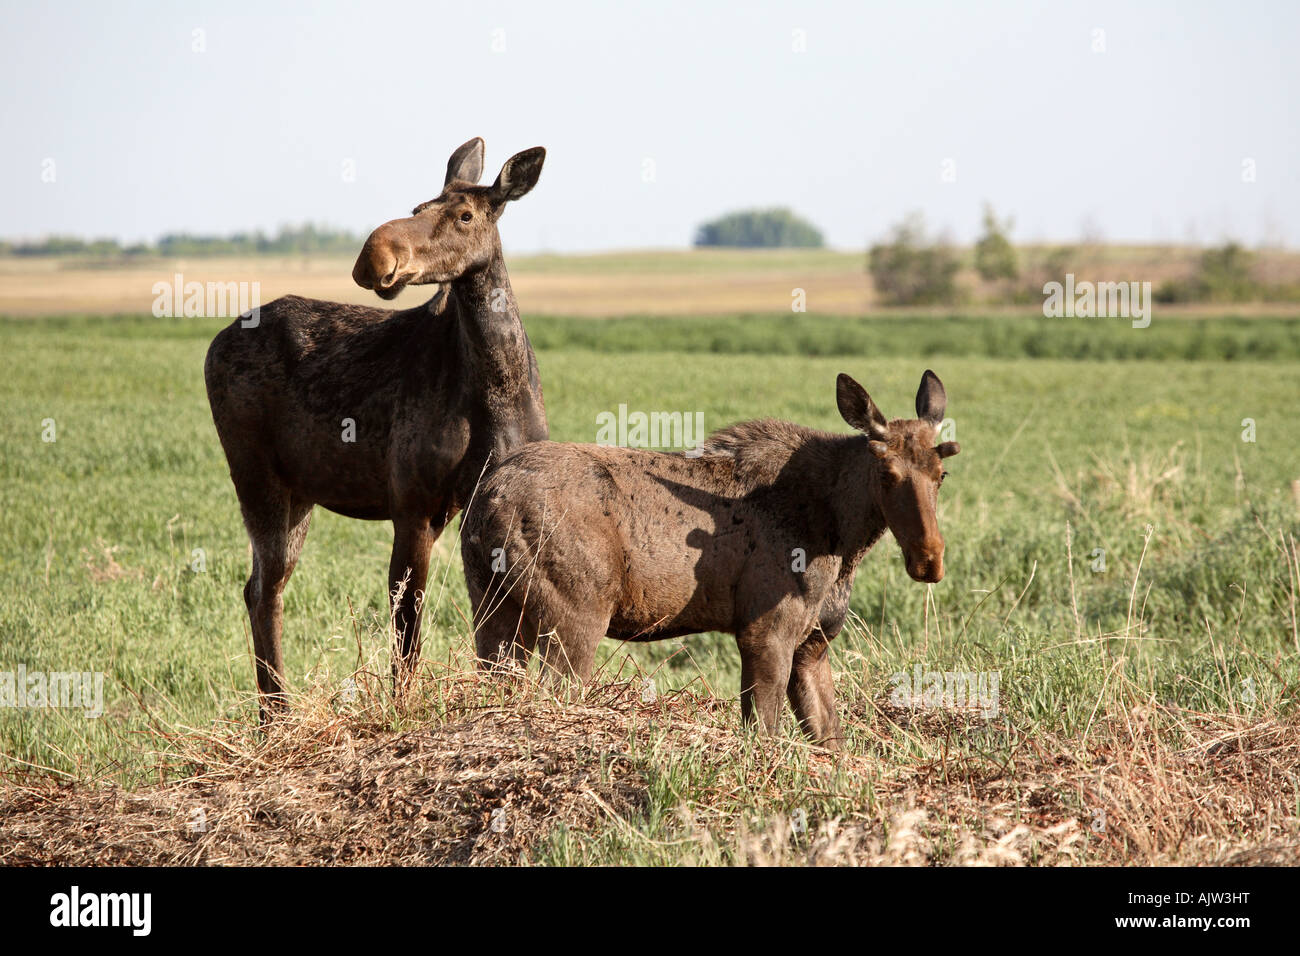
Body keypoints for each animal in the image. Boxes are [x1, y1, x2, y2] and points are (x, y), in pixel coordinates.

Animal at [204, 138, 549, 722]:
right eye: (417, 207)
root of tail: (212, 345)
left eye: (465, 215)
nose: (375, 255)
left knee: (259, 586)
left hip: (299, 491)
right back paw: (277, 716)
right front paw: (401, 707)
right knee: (263, 588)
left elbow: (494, 620)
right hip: (256, 476)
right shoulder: (413, 503)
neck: (497, 385)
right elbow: (407, 619)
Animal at [460, 370, 959, 749]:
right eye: (886, 473)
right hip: (575, 616)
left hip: (493, 609)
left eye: (942, 474)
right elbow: (764, 730)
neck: (845, 537)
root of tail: (488, 497)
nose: (929, 560)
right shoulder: (764, 631)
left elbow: (830, 739)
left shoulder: (814, 644)